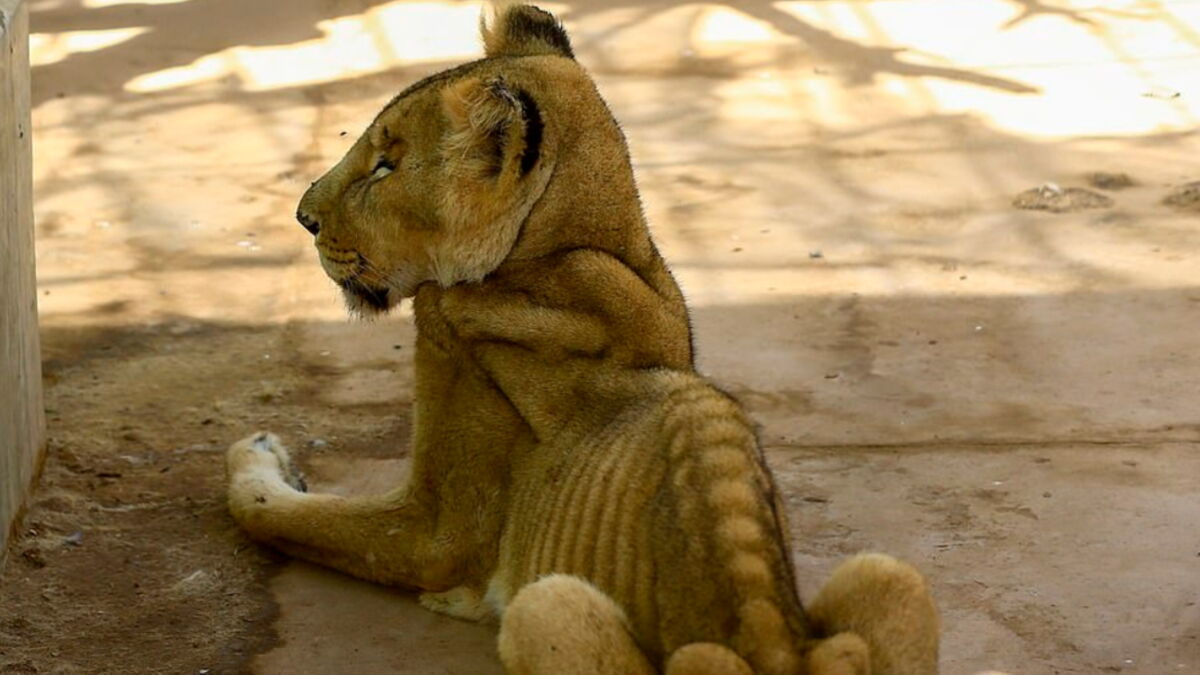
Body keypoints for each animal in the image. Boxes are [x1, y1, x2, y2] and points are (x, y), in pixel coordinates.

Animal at [225, 4, 940, 673]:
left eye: (385, 166)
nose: (303, 218)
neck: (578, 254)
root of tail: (770, 652)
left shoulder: (434, 531)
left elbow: (276, 512)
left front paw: (256, 455)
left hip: (543, 605)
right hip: (891, 574)